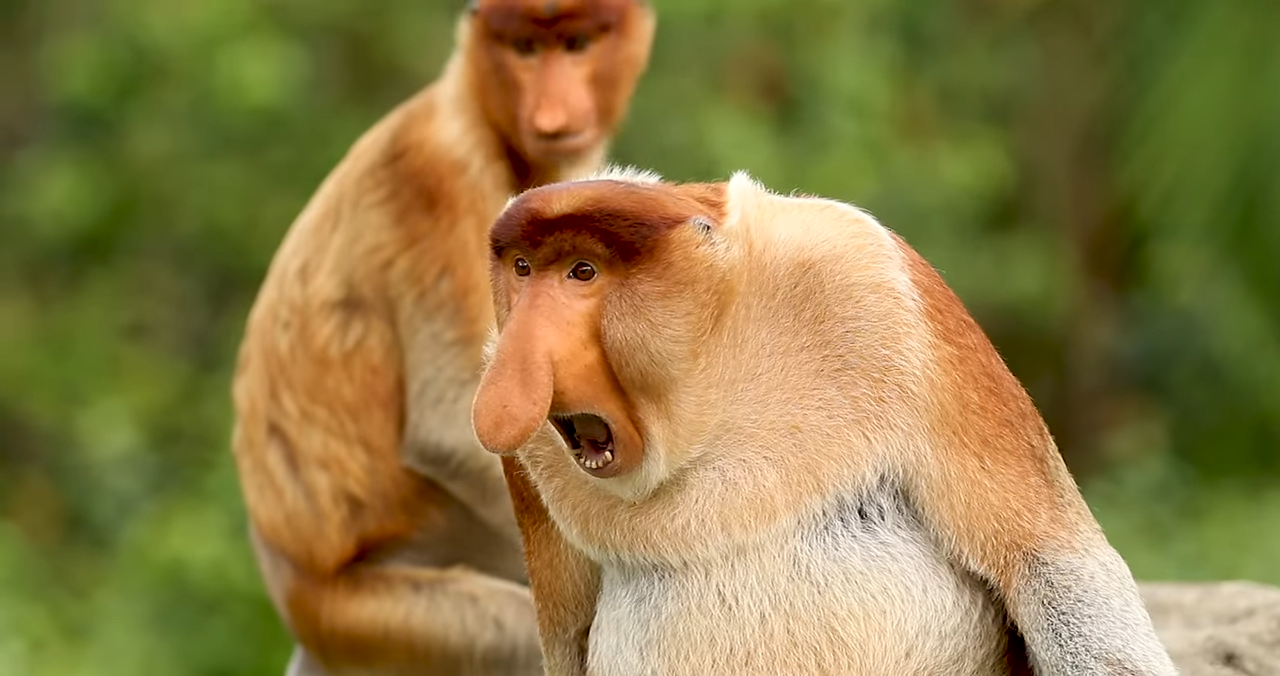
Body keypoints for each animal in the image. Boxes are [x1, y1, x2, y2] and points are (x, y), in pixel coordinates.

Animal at [228, 3, 655, 675]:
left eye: (579, 44)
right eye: (526, 49)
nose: (552, 115)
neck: (478, 114)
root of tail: (291, 584)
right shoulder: (434, 182)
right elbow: (457, 426)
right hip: (385, 613)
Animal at [468, 166, 1181, 676]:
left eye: (581, 271)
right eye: (523, 269)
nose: (509, 381)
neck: (715, 373)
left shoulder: (877, 284)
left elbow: (1051, 570)